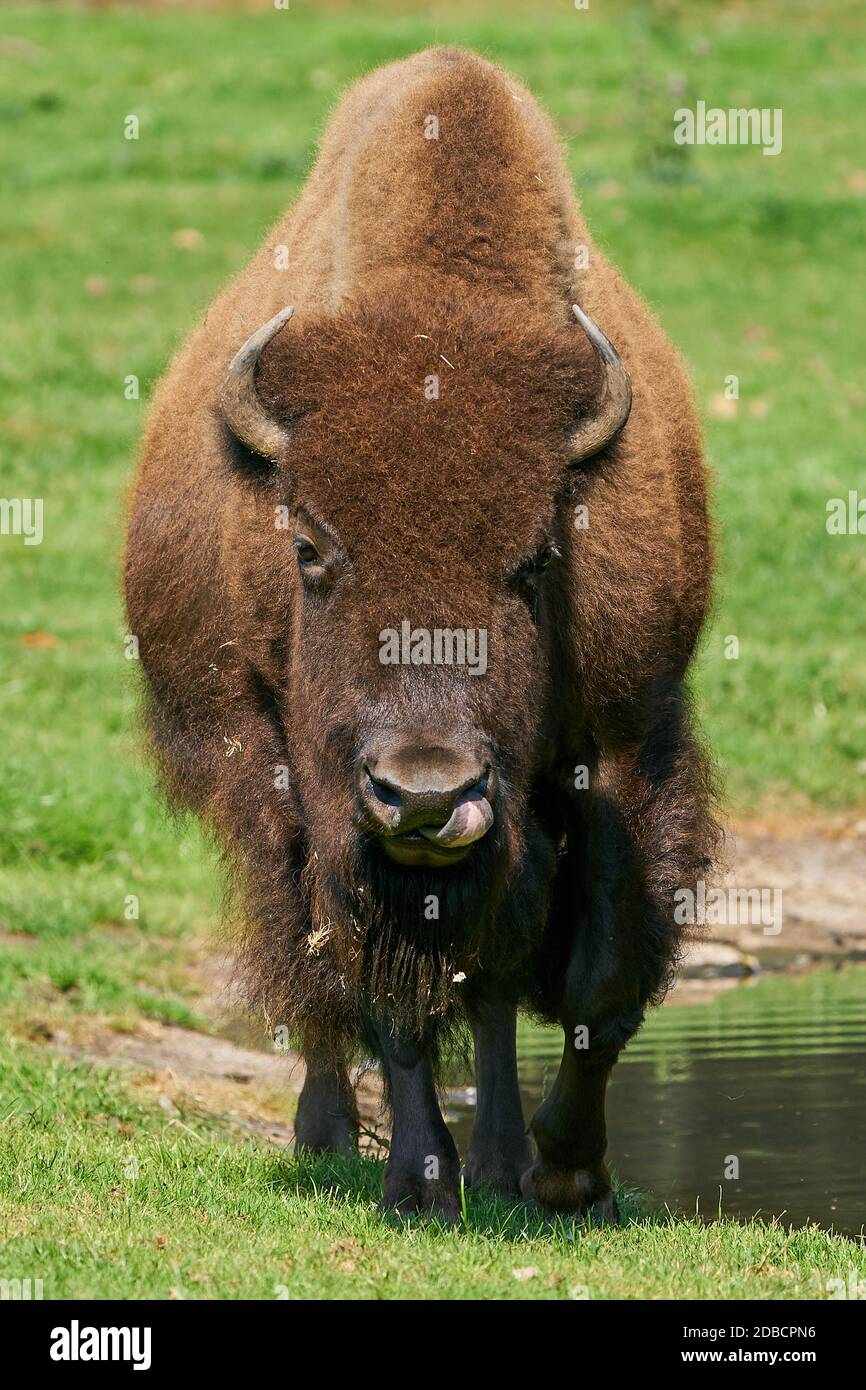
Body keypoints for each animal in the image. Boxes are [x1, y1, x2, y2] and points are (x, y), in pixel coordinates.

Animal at [125, 47, 717, 1222]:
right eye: (309, 547)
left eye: (536, 555)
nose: (427, 792)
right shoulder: (310, 787)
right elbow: (377, 985)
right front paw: (415, 1179)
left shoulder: (625, 741)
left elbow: (589, 976)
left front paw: (565, 1170)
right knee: (315, 971)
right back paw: (329, 1138)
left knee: (485, 979)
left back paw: (499, 1159)